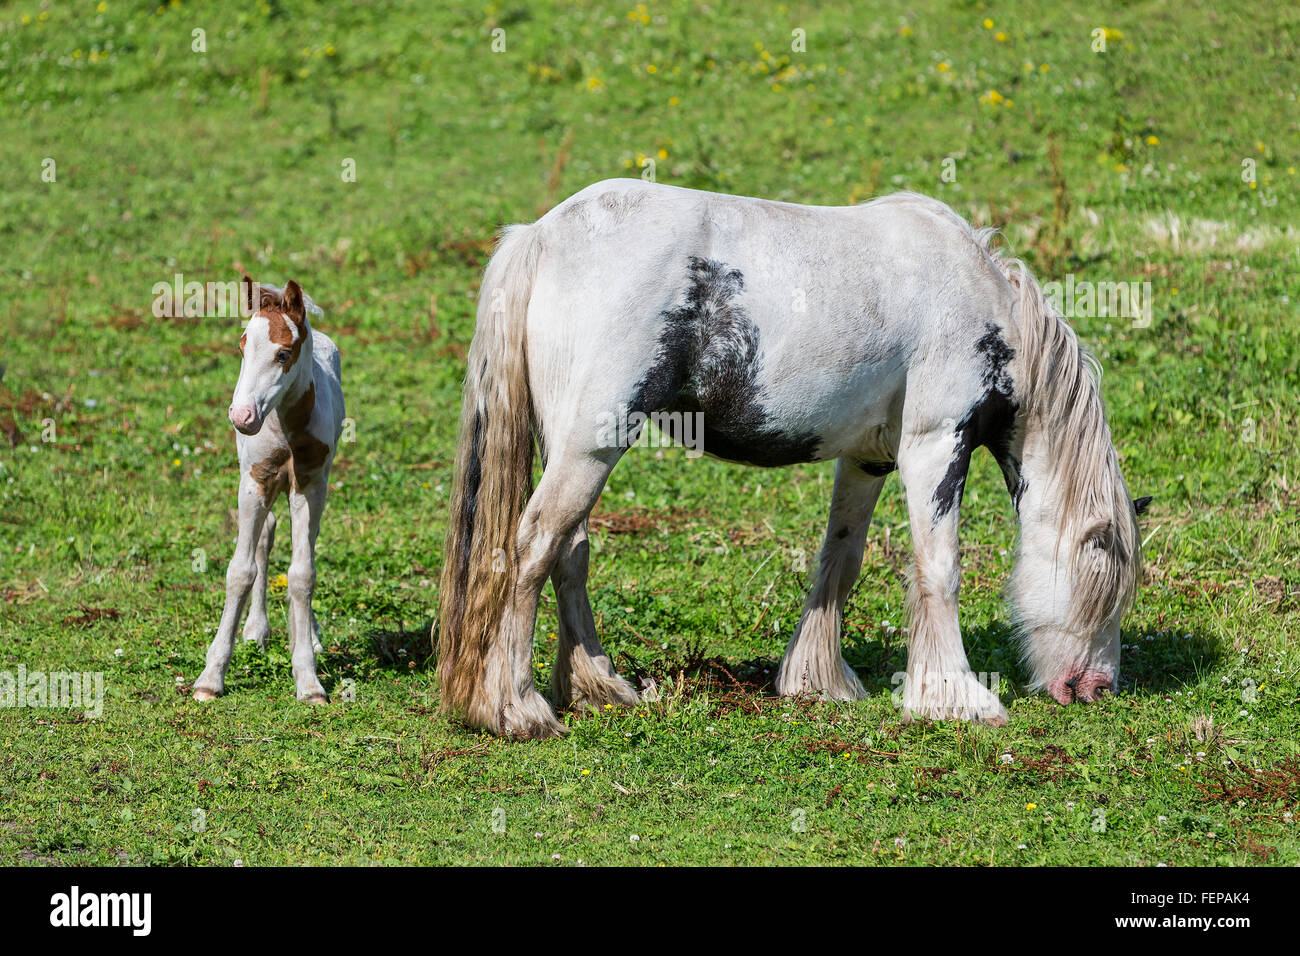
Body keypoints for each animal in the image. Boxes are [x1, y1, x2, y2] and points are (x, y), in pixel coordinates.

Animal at [193, 278, 344, 704]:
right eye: (242, 345)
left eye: (283, 353)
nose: (242, 417)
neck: (284, 425)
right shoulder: (255, 480)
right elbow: (240, 571)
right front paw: (210, 678)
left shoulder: (309, 484)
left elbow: (302, 574)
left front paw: (308, 680)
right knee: (266, 535)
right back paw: (255, 631)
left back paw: (307, 636)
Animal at [437, 179, 1147, 739]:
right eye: (1105, 586)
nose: (1095, 688)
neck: (986, 309)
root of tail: (541, 237)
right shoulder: (935, 443)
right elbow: (939, 568)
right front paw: (957, 696)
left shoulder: (868, 460)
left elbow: (841, 560)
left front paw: (818, 680)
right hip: (591, 445)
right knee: (532, 546)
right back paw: (517, 708)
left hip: (574, 449)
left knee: (570, 551)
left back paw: (599, 688)